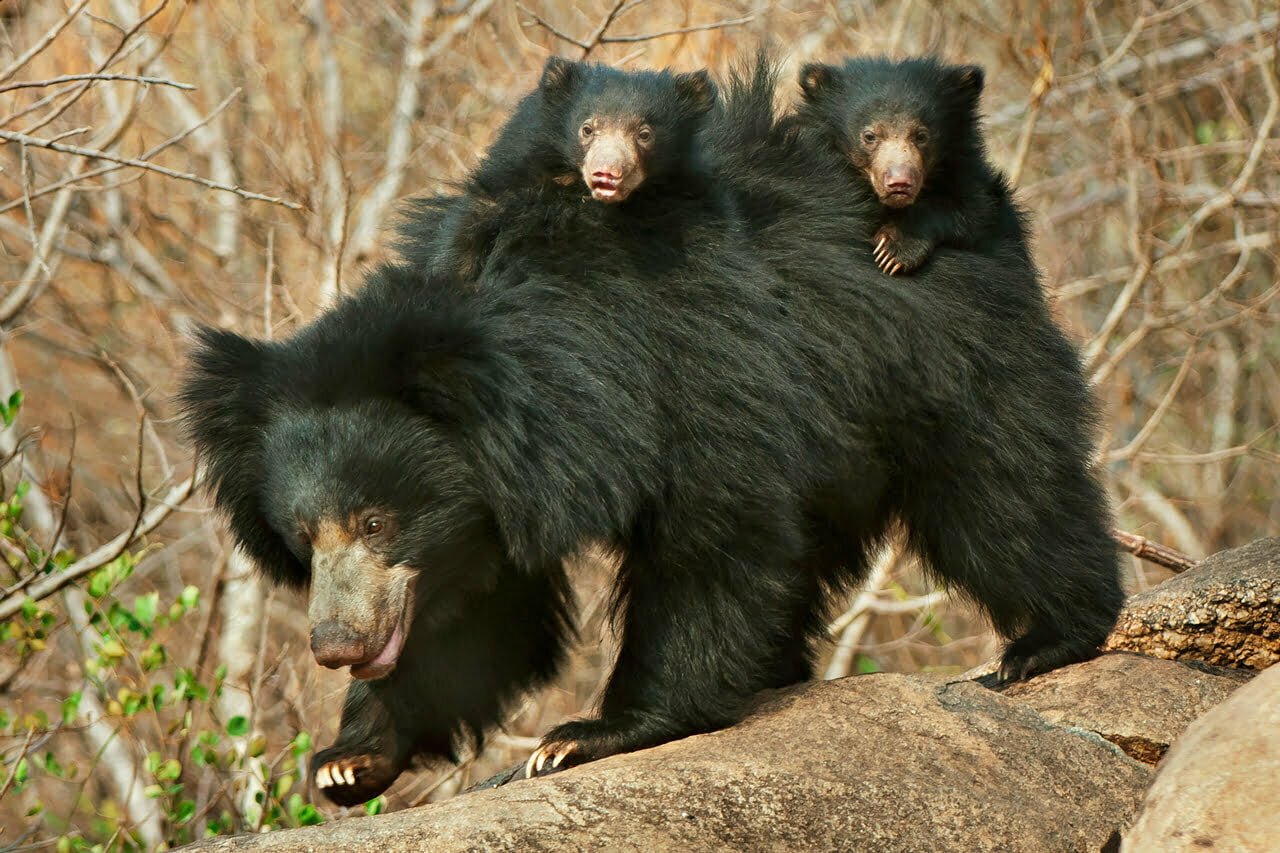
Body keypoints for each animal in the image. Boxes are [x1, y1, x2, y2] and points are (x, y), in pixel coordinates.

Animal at [791, 56, 1021, 277]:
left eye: (921, 136)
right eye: (869, 136)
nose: (899, 183)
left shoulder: (965, 172)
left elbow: (974, 210)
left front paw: (894, 251)